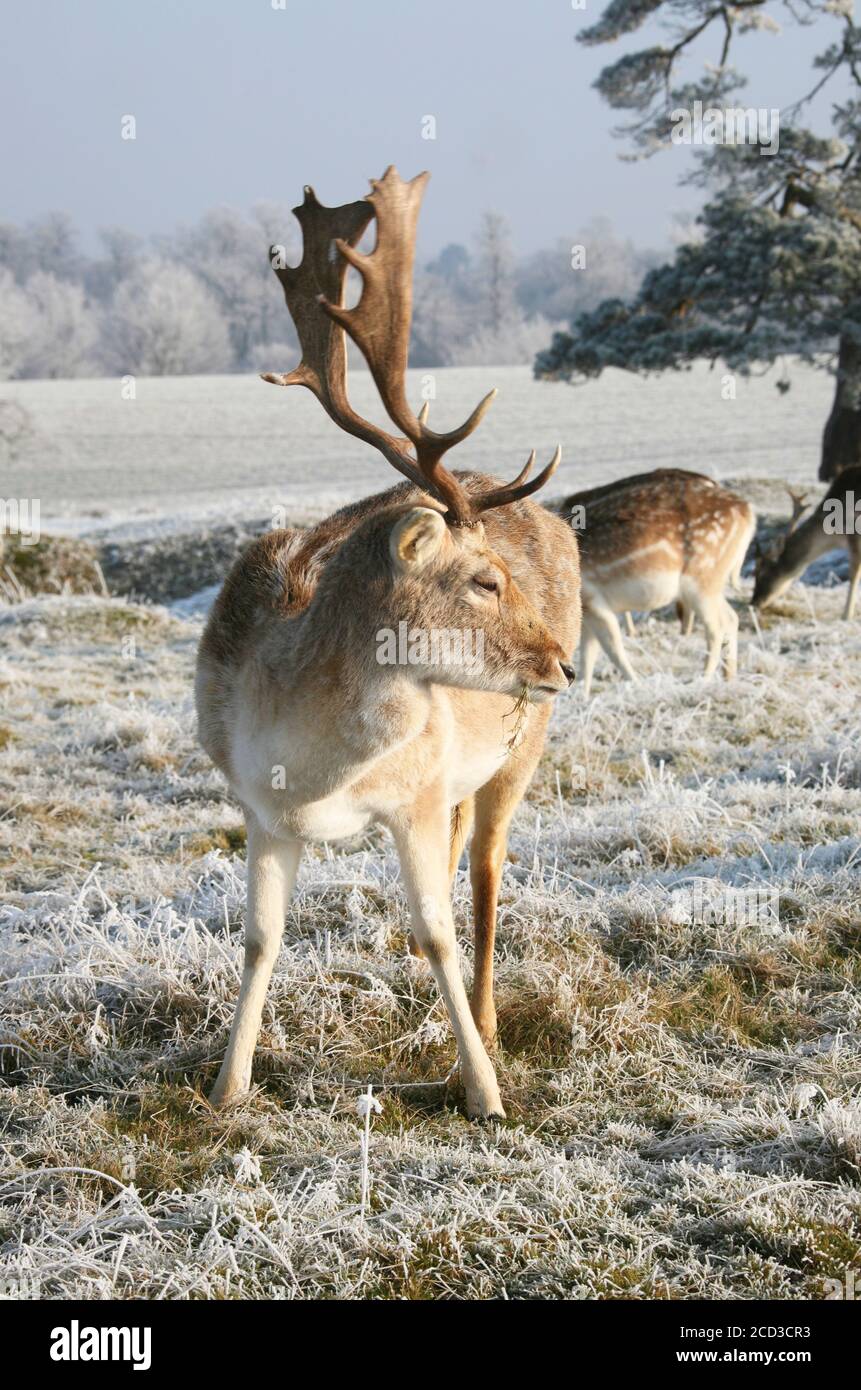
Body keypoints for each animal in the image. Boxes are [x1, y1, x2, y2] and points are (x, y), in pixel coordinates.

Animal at [195, 168, 581, 1122]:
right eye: (483, 580)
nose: (560, 660)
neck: (309, 760)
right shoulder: (255, 806)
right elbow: (259, 939)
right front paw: (226, 1087)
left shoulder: (416, 793)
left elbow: (440, 931)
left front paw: (482, 1091)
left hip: (520, 753)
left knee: (484, 870)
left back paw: (487, 1018)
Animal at [557, 471, 754, 697]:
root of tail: (749, 513)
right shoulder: (587, 613)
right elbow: (588, 655)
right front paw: (581, 695)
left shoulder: (594, 601)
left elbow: (613, 648)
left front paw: (637, 684)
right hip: (712, 583)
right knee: (731, 618)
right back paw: (729, 677)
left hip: (701, 579)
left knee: (716, 627)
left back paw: (702, 679)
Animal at [752, 467, 861, 619]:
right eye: (753, 574)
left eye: (762, 573)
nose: (753, 602)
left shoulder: (855, 536)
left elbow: (854, 575)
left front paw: (846, 615)